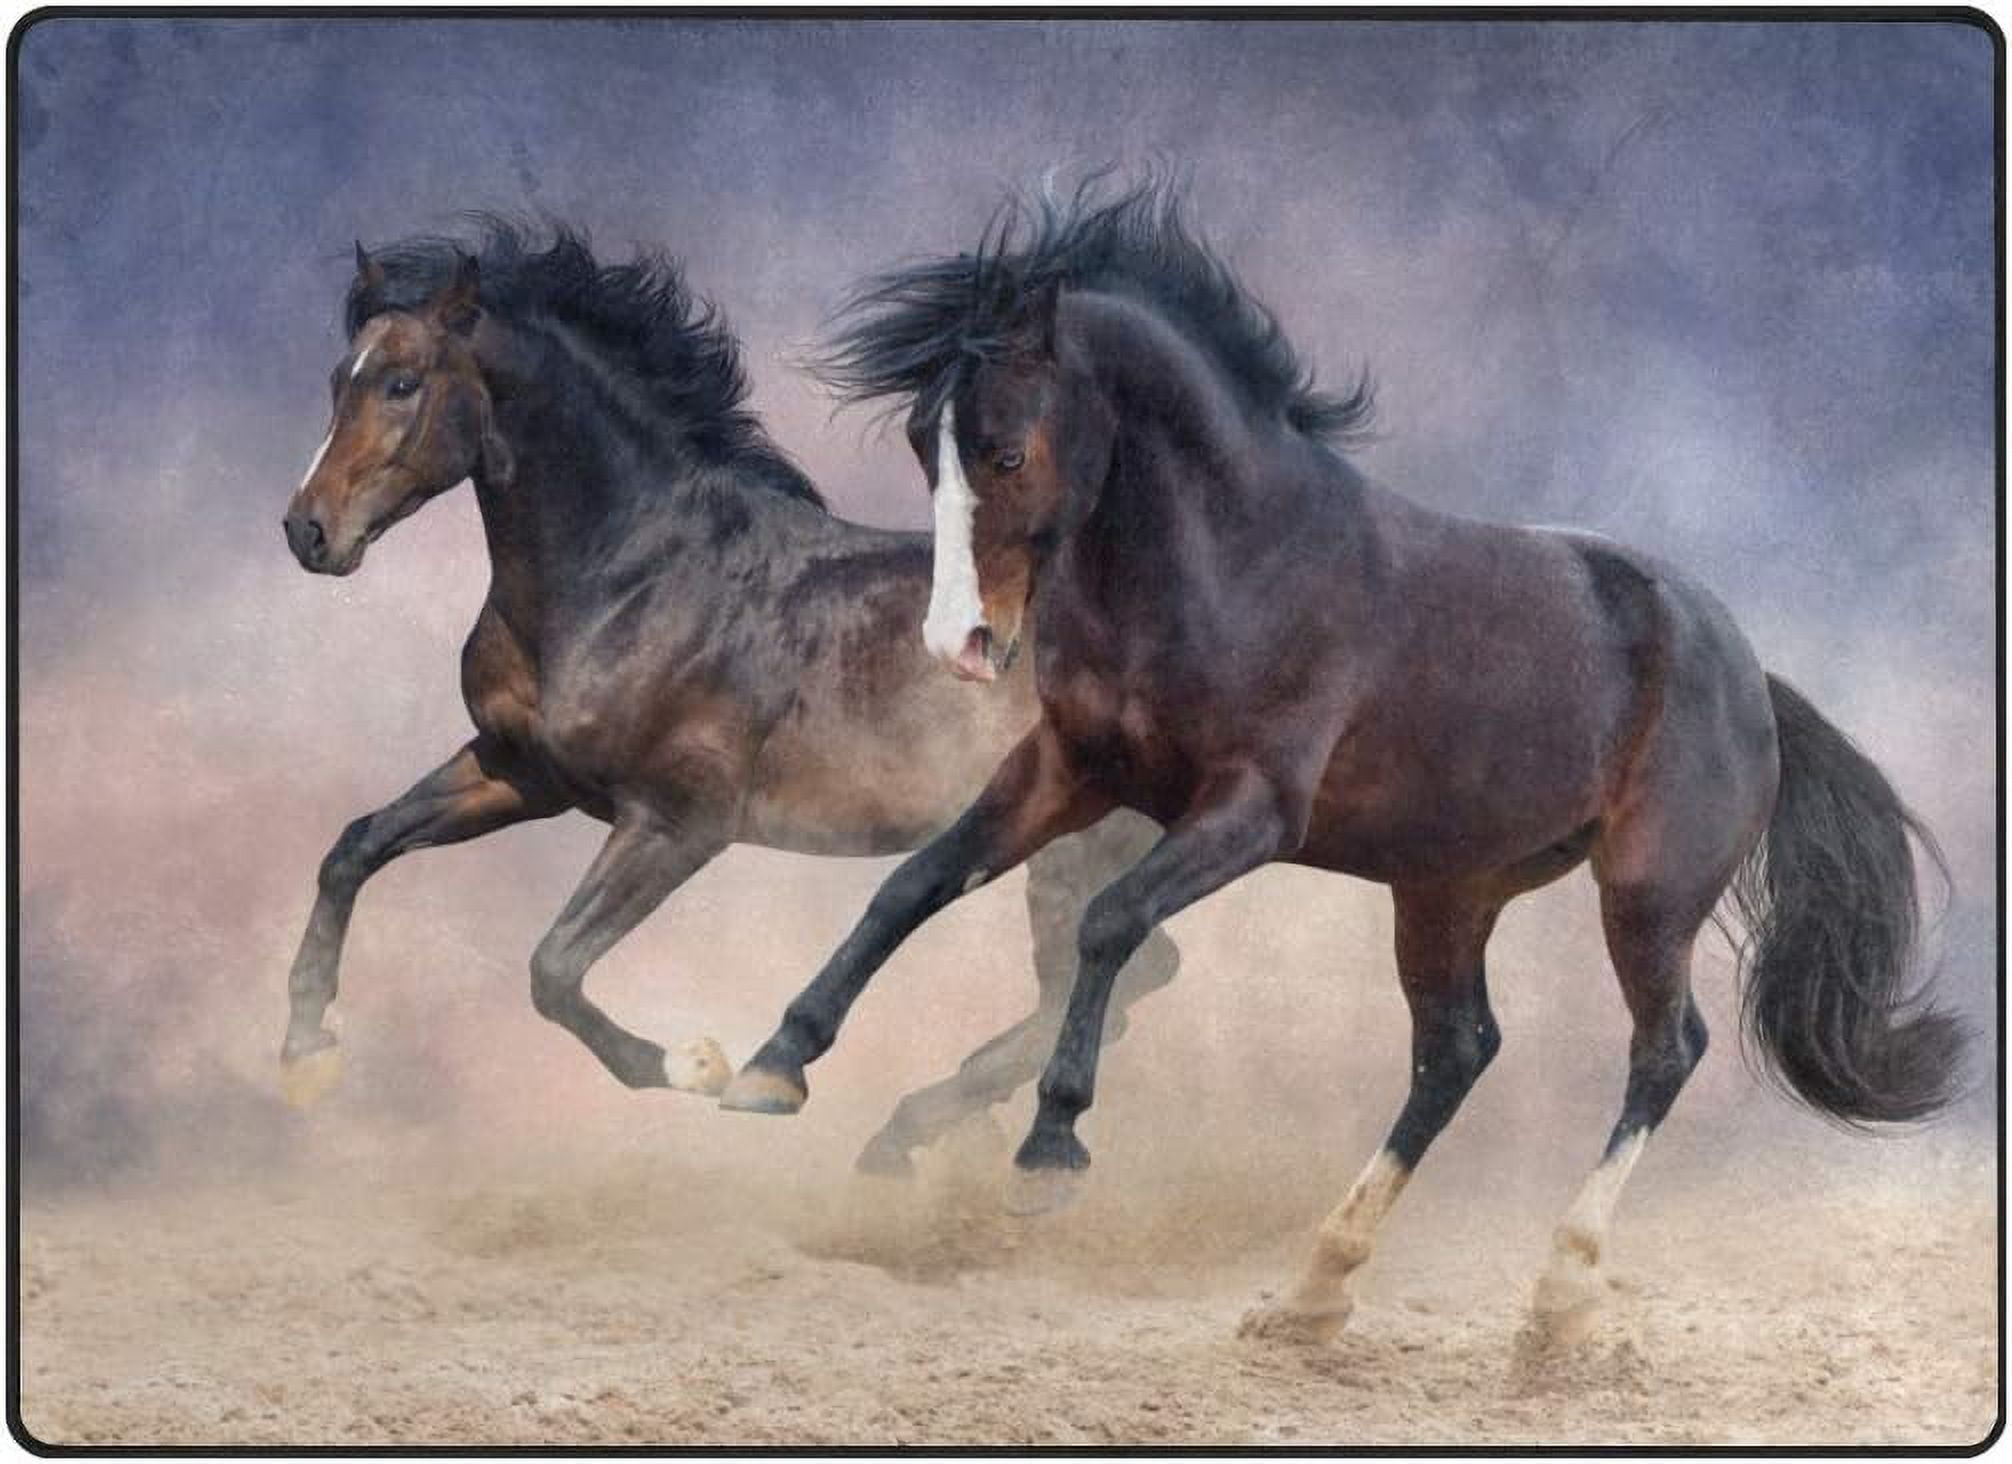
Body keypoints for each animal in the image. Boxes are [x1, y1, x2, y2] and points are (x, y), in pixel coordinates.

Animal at [278, 221, 1181, 1177]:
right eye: (339, 379)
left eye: (402, 382)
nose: (308, 531)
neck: (633, 574)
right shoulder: (520, 774)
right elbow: (353, 849)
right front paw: (303, 1057)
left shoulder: (678, 823)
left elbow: (553, 969)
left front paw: (699, 1064)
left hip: (1071, 840)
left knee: (1116, 972)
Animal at [719, 176, 1965, 1339]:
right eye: (919, 444)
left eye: (1004, 449)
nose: (961, 645)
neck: (1236, 566)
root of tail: (1749, 675)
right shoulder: (1073, 771)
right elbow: (914, 883)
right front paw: (773, 1064)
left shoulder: (1248, 813)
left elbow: (1107, 924)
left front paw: (1049, 1150)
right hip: (1447, 889)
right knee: (1455, 1051)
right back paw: (1315, 1288)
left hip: (1645, 895)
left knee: (1664, 1049)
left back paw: (1557, 1293)